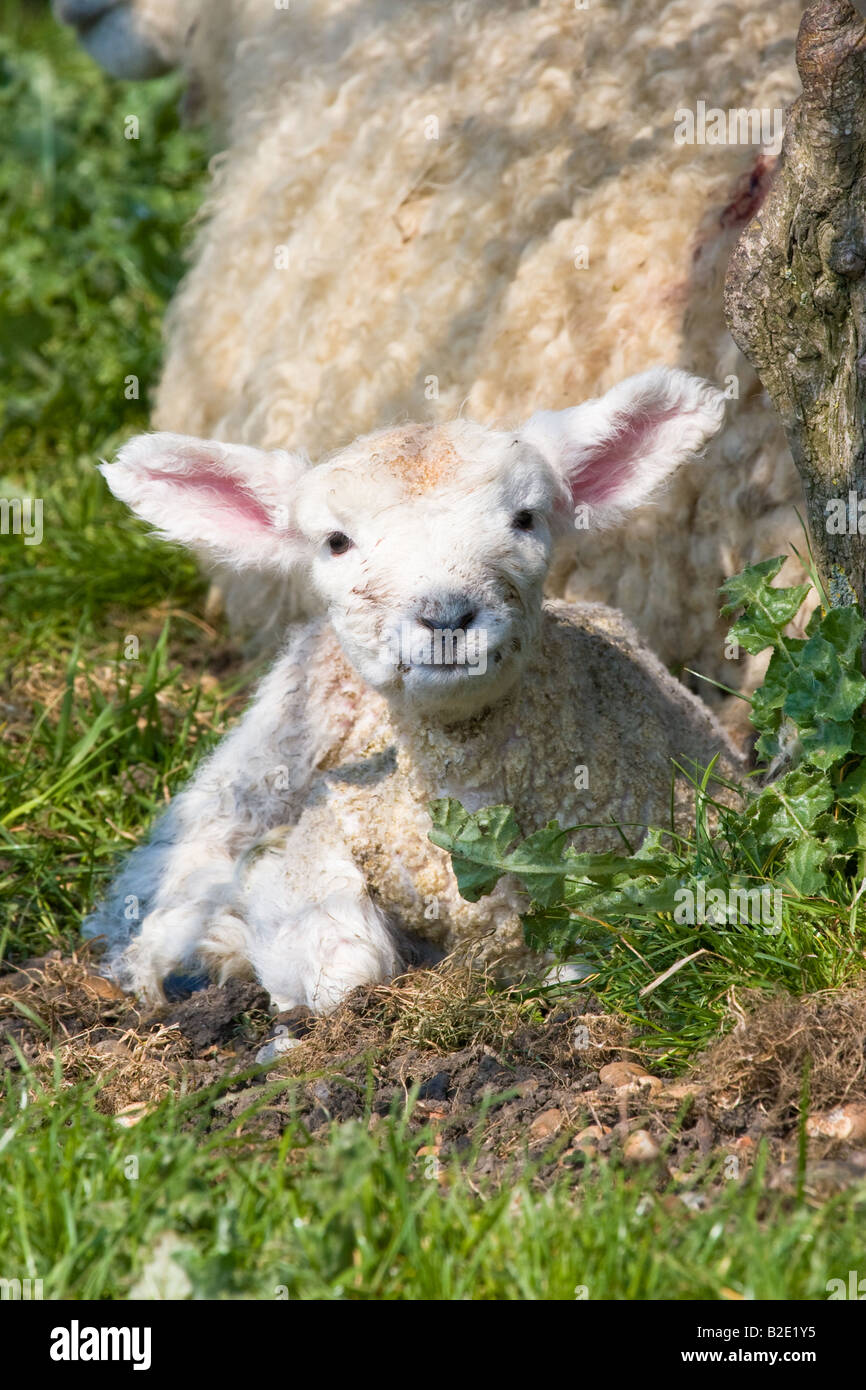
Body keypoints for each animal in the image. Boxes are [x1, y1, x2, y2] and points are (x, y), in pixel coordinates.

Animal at [84, 366, 744, 1012]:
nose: (446, 615)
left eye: (526, 518)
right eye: (336, 541)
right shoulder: (327, 825)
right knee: (192, 858)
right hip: (267, 754)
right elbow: (343, 971)